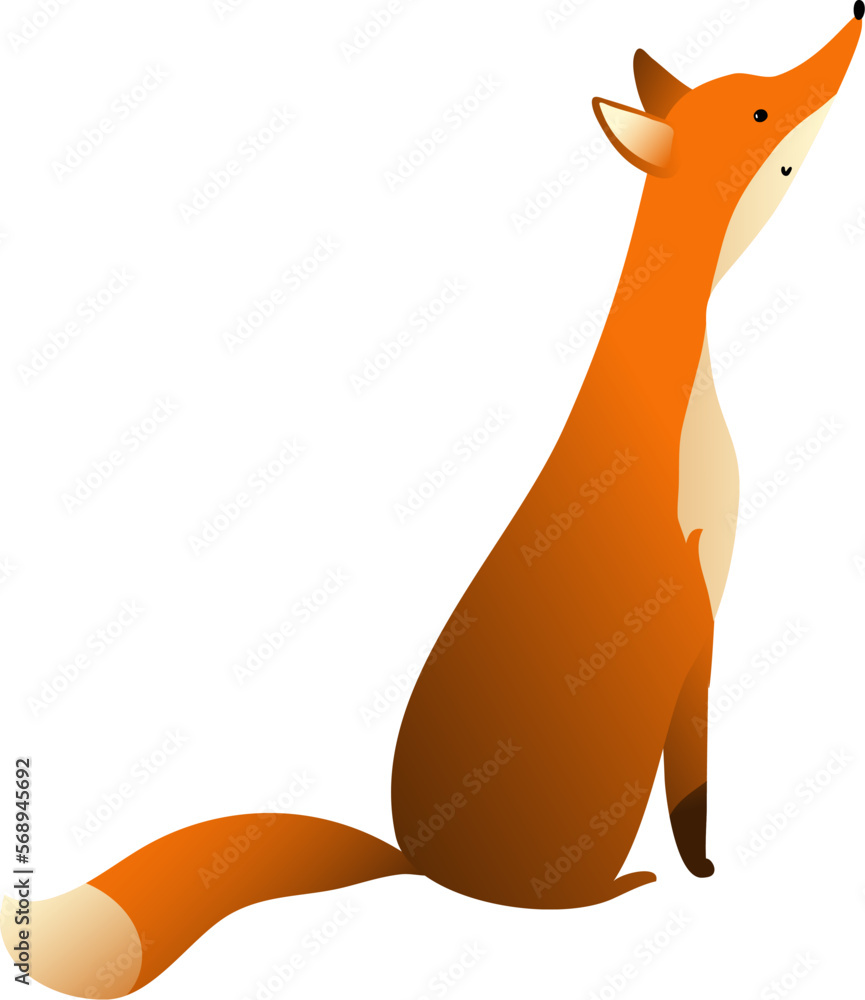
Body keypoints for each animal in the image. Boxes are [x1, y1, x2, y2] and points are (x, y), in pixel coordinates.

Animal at [5, 5, 862, 996]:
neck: (674, 412)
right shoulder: (693, 612)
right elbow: (694, 781)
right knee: (543, 901)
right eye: (761, 111)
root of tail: (418, 859)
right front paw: (702, 868)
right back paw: (614, 891)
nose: (849, 24)